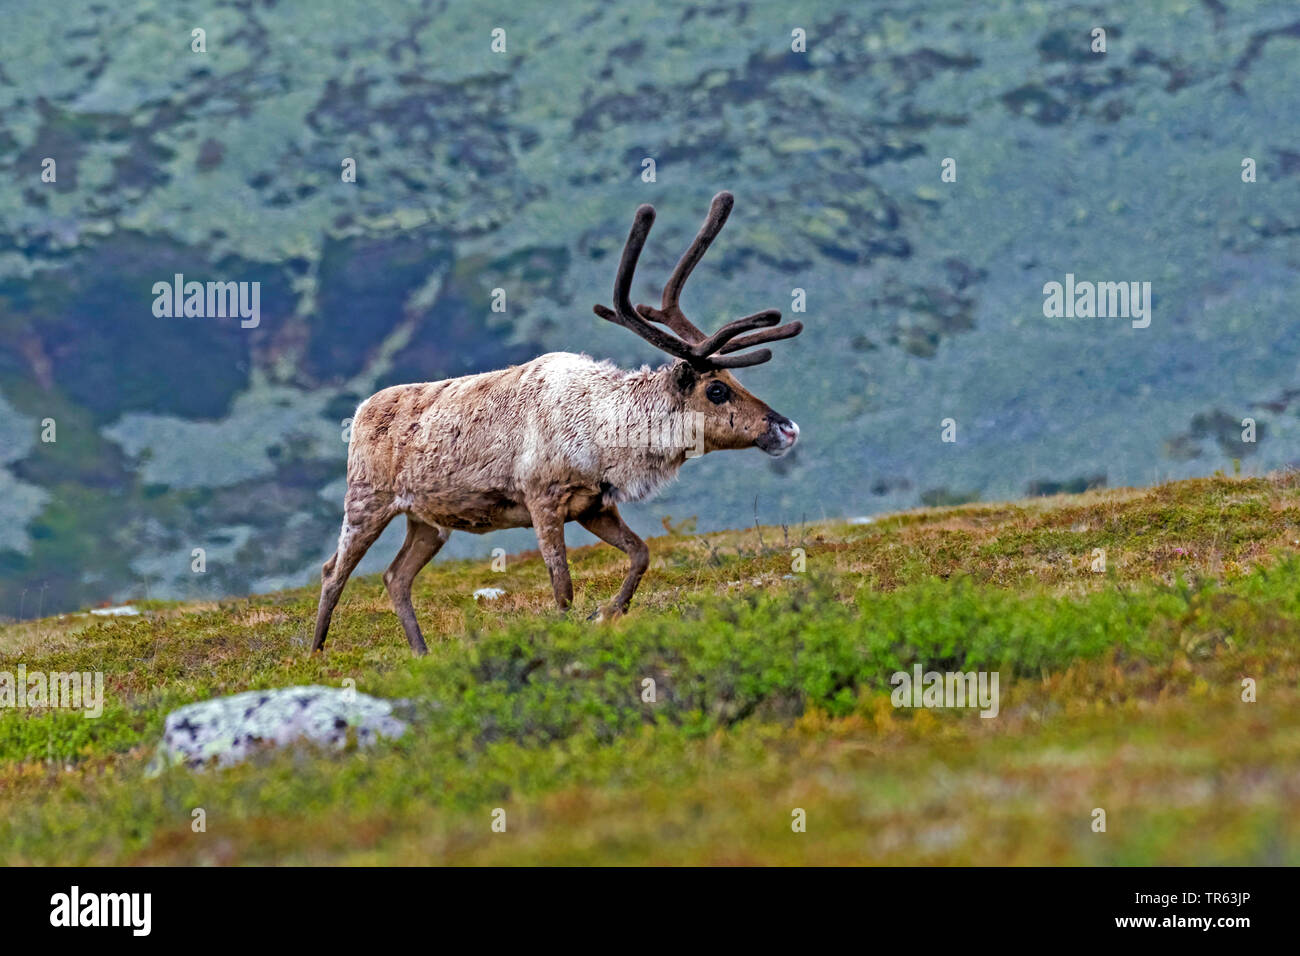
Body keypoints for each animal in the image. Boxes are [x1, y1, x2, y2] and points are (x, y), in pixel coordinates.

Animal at [311, 191, 803, 655]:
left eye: (735, 379)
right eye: (716, 390)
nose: (787, 427)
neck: (606, 432)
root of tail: (361, 410)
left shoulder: (594, 505)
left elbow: (641, 554)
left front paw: (607, 613)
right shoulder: (541, 498)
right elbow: (562, 587)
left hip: (428, 519)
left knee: (396, 576)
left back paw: (421, 651)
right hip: (367, 500)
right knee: (333, 570)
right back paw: (316, 653)